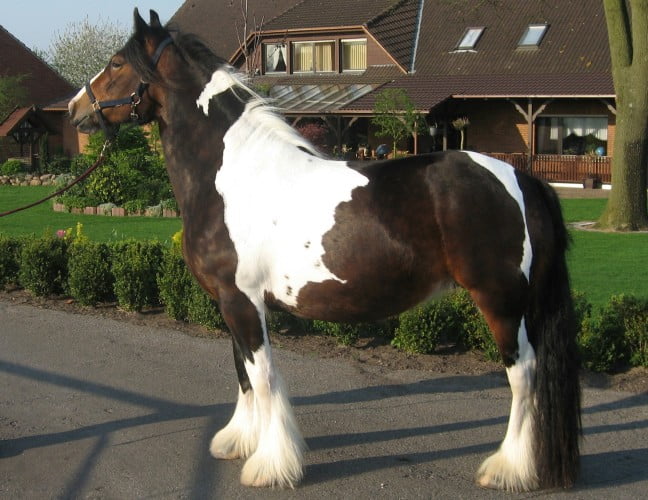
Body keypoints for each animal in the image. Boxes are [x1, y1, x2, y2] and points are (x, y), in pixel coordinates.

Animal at [68, 9, 581, 492]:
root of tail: (522, 178)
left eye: (116, 63)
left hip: (500, 301)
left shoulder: (242, 302)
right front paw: (240, 440)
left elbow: (263, 377)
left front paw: (270, 464)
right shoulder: (230, 302)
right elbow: (242, 371)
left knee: (523, 375)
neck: (230, 174)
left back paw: (507, 468)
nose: (76, 109)